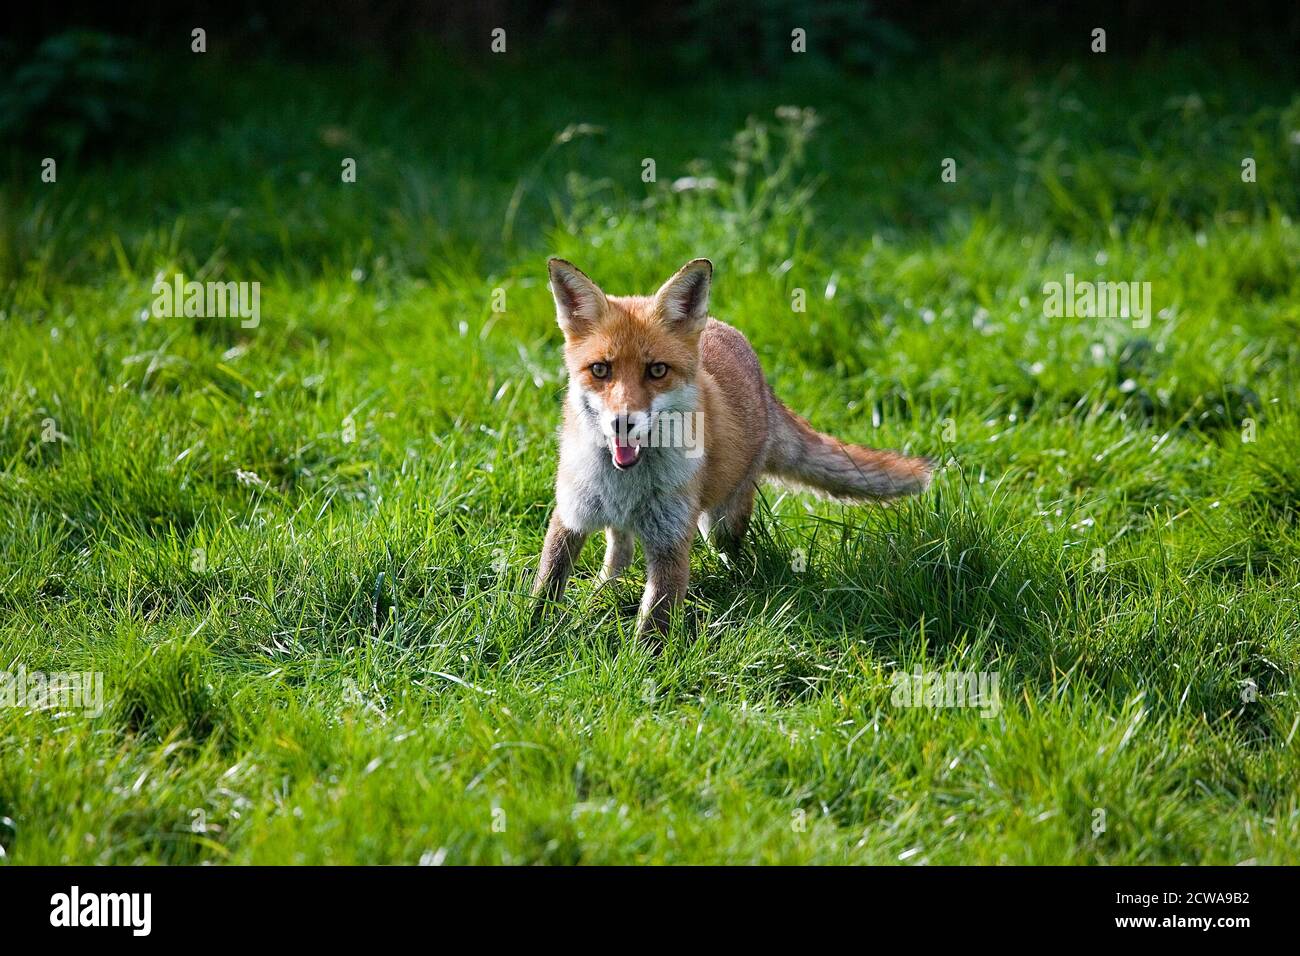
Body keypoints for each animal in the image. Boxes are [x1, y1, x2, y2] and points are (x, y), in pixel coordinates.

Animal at [533, 257, 932, 635]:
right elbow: (545, 587)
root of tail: (764, 387)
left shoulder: (671, 539)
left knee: (731, 559)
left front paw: (641, 662)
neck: (625, 484)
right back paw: (600, 594)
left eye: (657, 370)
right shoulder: (571, 515)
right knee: (620, 553)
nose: (622, 423)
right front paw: (533, 634)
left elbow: (653, 626)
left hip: (720, 525)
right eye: (600, 370)